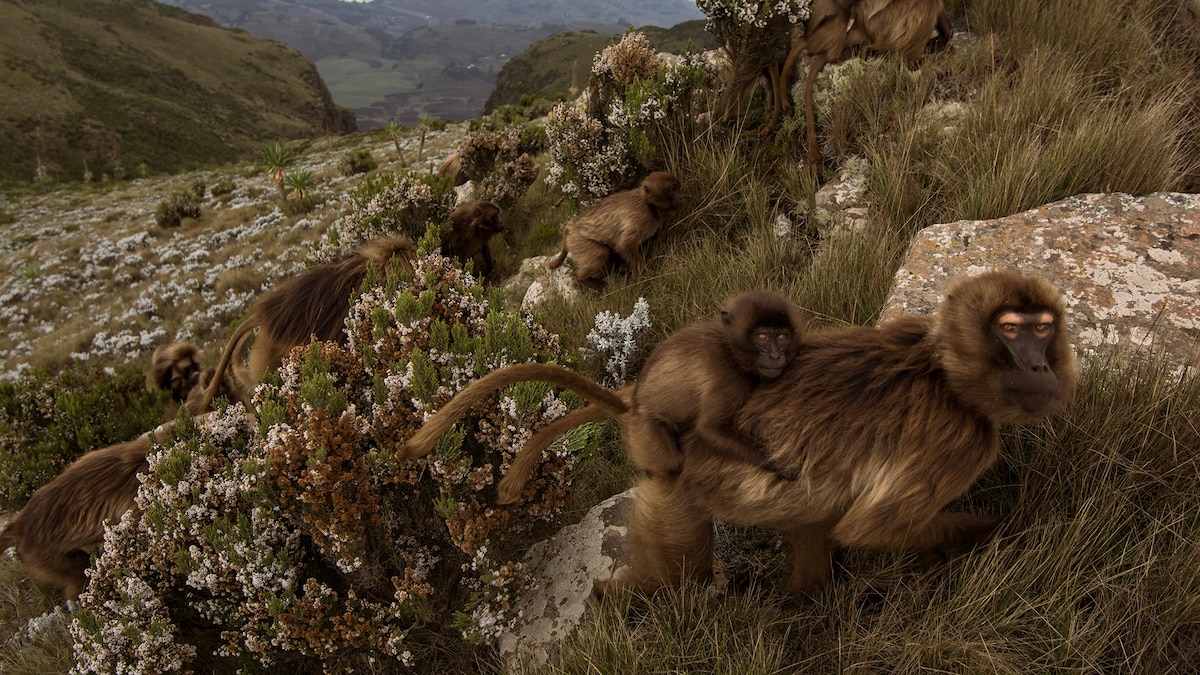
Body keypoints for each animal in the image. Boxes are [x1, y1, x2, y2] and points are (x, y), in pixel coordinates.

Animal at [405, 271, 1078, 599]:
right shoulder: (959, 440)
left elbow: (836, 521)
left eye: (1043, 327)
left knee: (809, 521)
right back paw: (617, 600)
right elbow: (872, 527)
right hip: (673, 485)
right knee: (681, 575)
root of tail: (632, 403)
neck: (941, 366)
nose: (1040, 368)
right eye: (1013, 329)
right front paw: (1000, 533)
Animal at [545, 171, 683, 291]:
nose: (681, 198)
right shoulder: (642, 217)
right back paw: (585, 280)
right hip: (578, 241)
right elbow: (625, 246)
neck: (649, 204)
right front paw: (648, 277)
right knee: (600, 253)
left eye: (677, 187)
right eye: (673, 188)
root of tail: (570, 225)